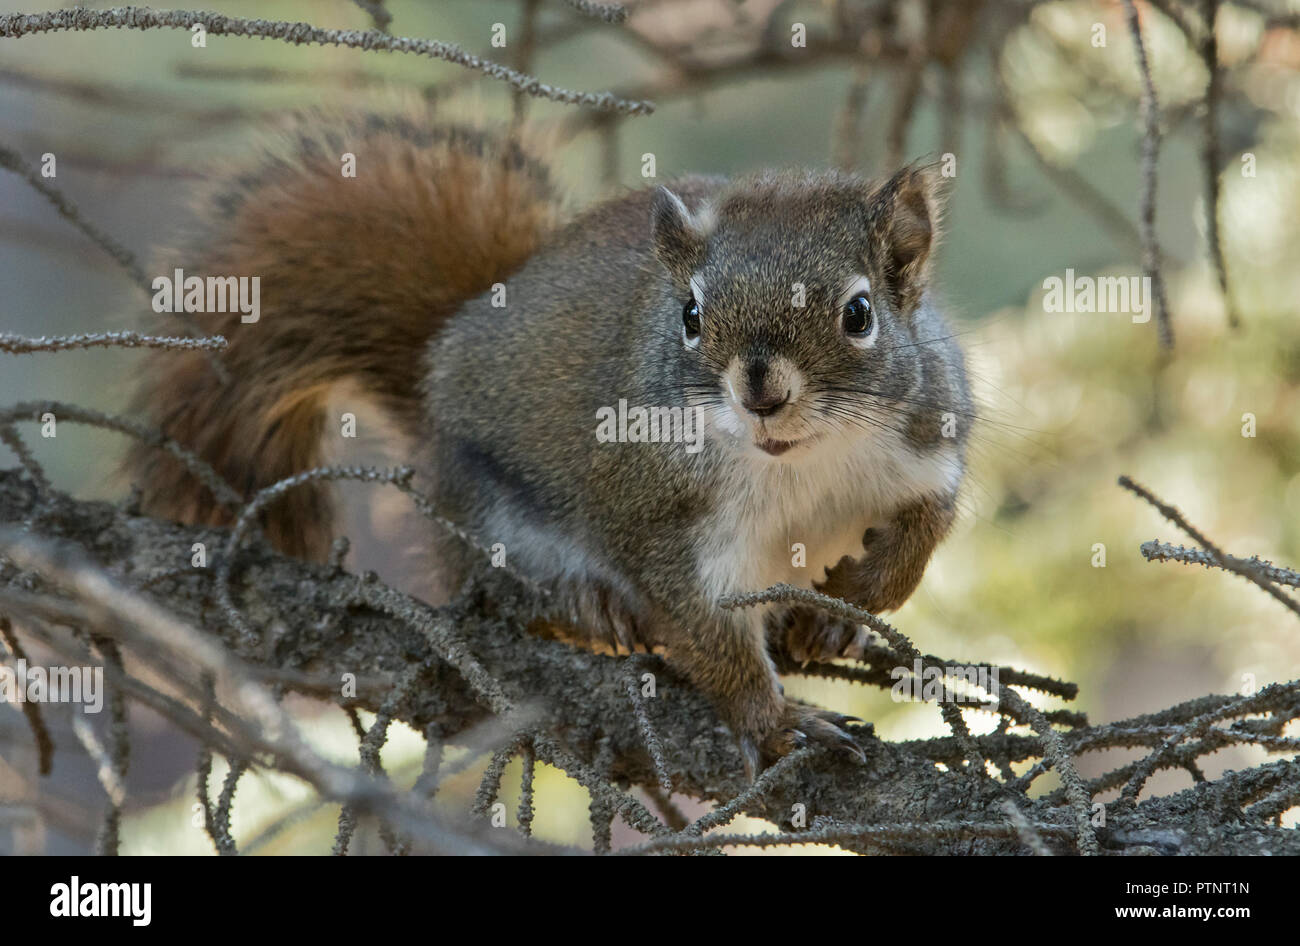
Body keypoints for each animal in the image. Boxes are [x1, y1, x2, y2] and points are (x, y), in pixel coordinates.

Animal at [125, 112, 972, 776]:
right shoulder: (662, 518)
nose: (759, 391)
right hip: (493, 519)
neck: (804, 461)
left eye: (859, 313)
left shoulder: (931, 439)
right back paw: (587, 603)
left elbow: (926, 529)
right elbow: (706, 633)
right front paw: (776, 725)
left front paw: (855, 596)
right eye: (690, 316)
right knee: (501, 592)